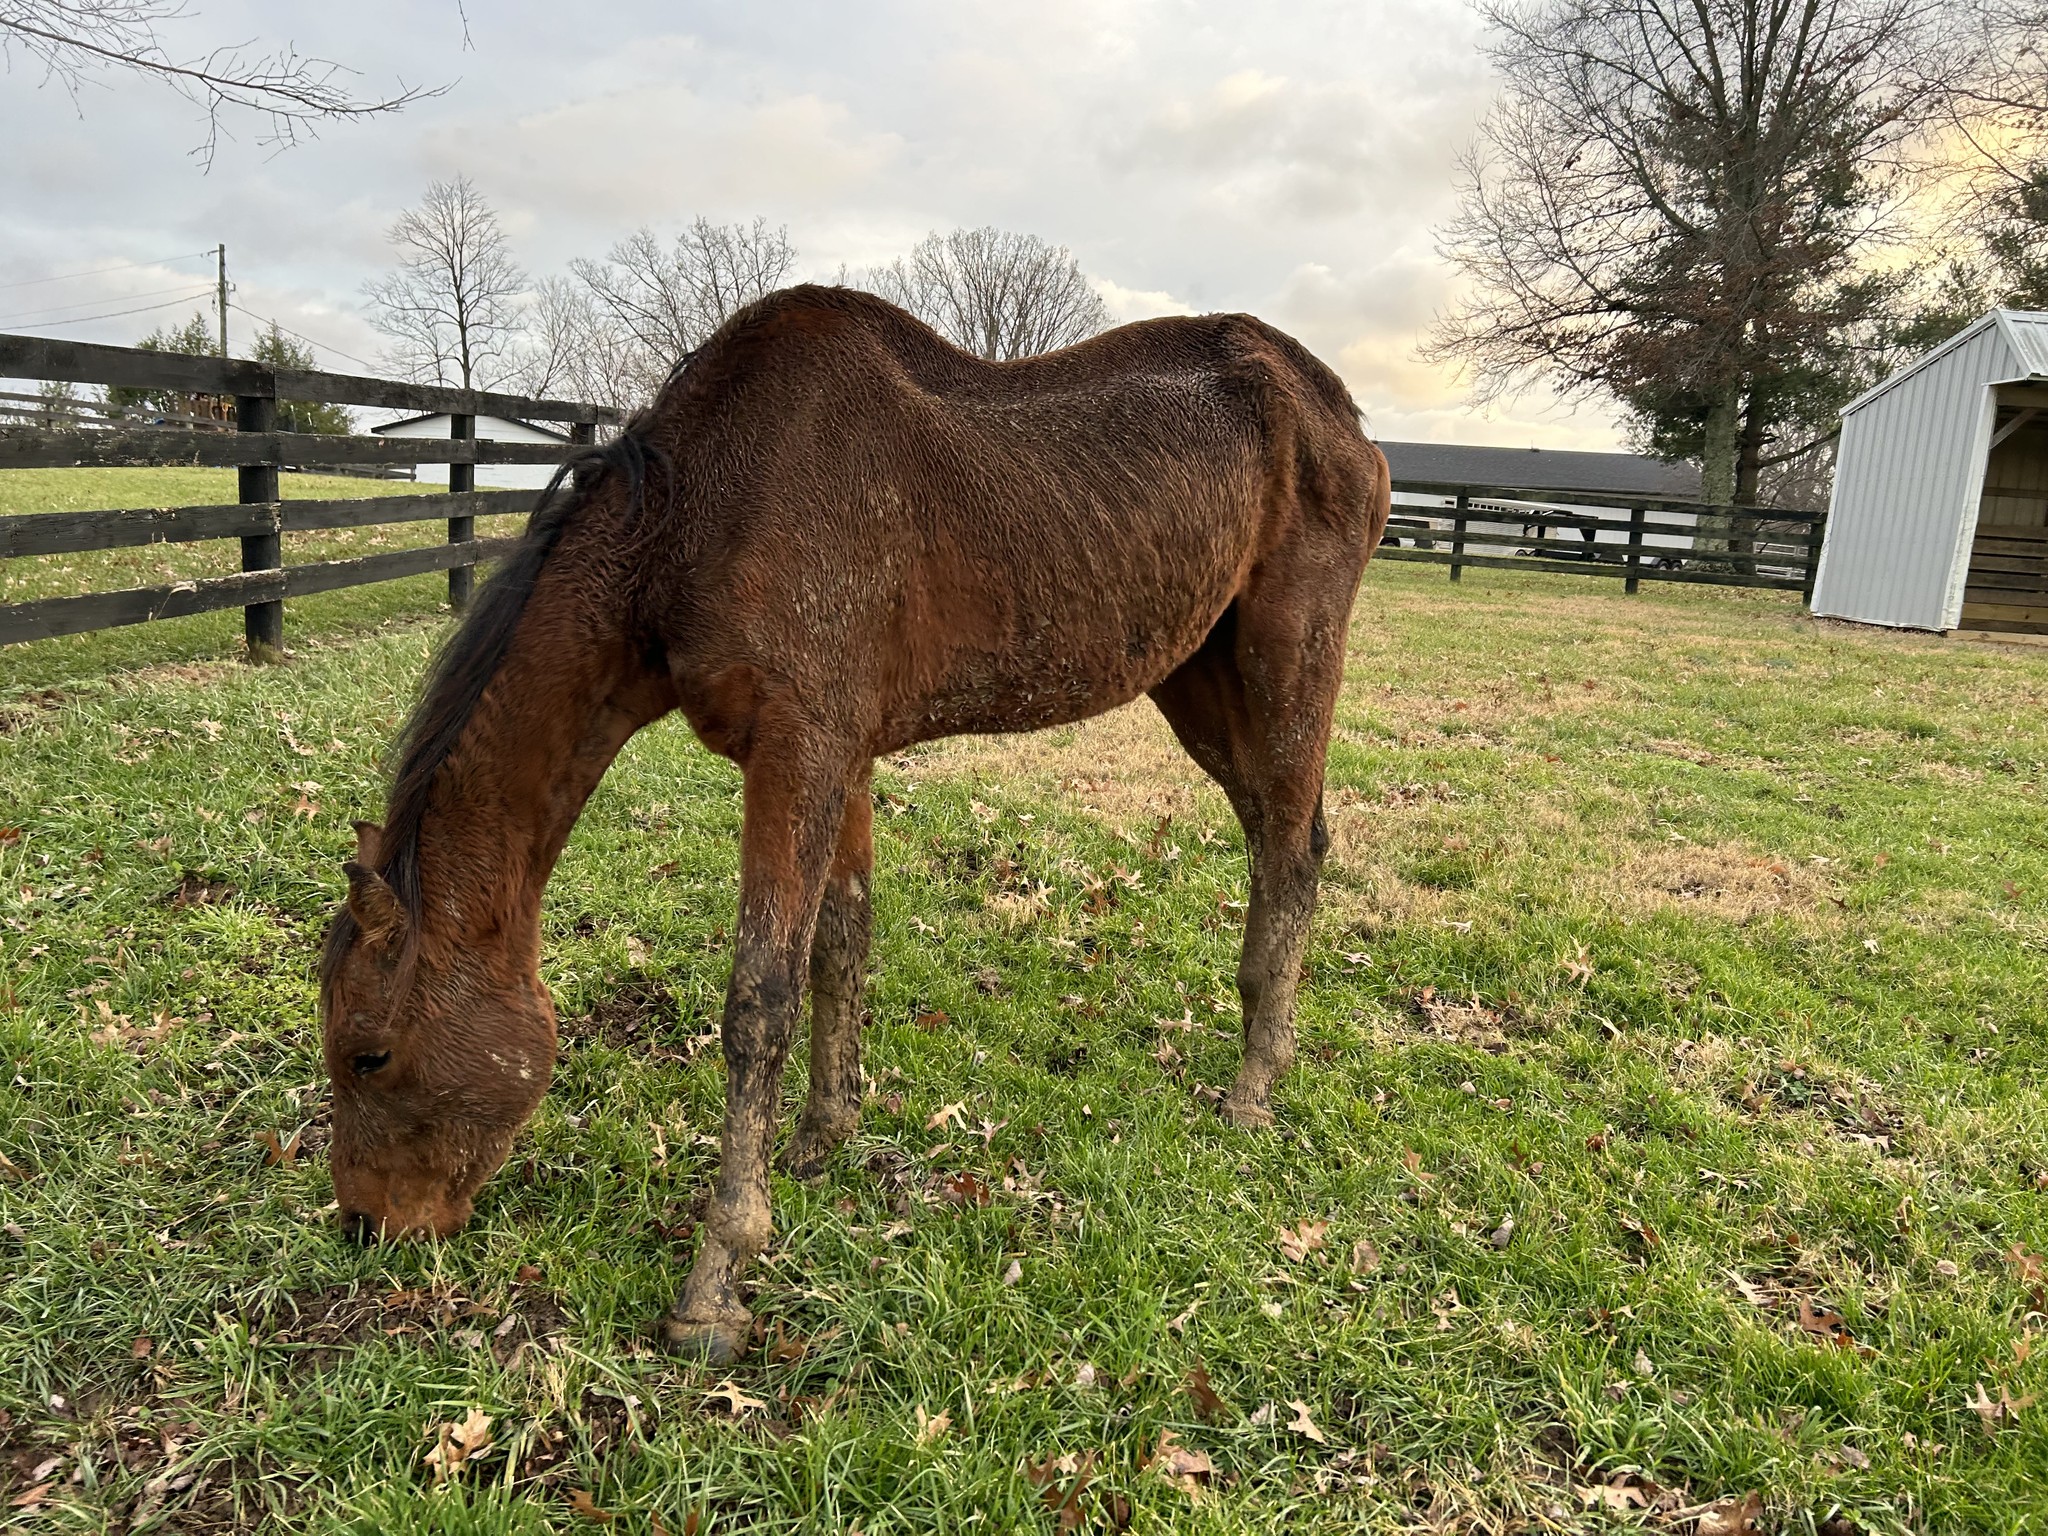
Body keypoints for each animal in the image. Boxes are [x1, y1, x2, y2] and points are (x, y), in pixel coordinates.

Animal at [320, 284, 1390, 1363]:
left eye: (369, 1054)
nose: (368, 1227)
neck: (700, 510)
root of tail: (1334, 409)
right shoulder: (843, 759)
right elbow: (842, 943)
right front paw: (822, 1137)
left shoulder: (797, 754)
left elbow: (758, 1003)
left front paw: (715, 1283)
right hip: (1201, 683)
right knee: (1282, 842)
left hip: (1284, 663)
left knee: (1289, 853)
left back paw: (1252, 1088)